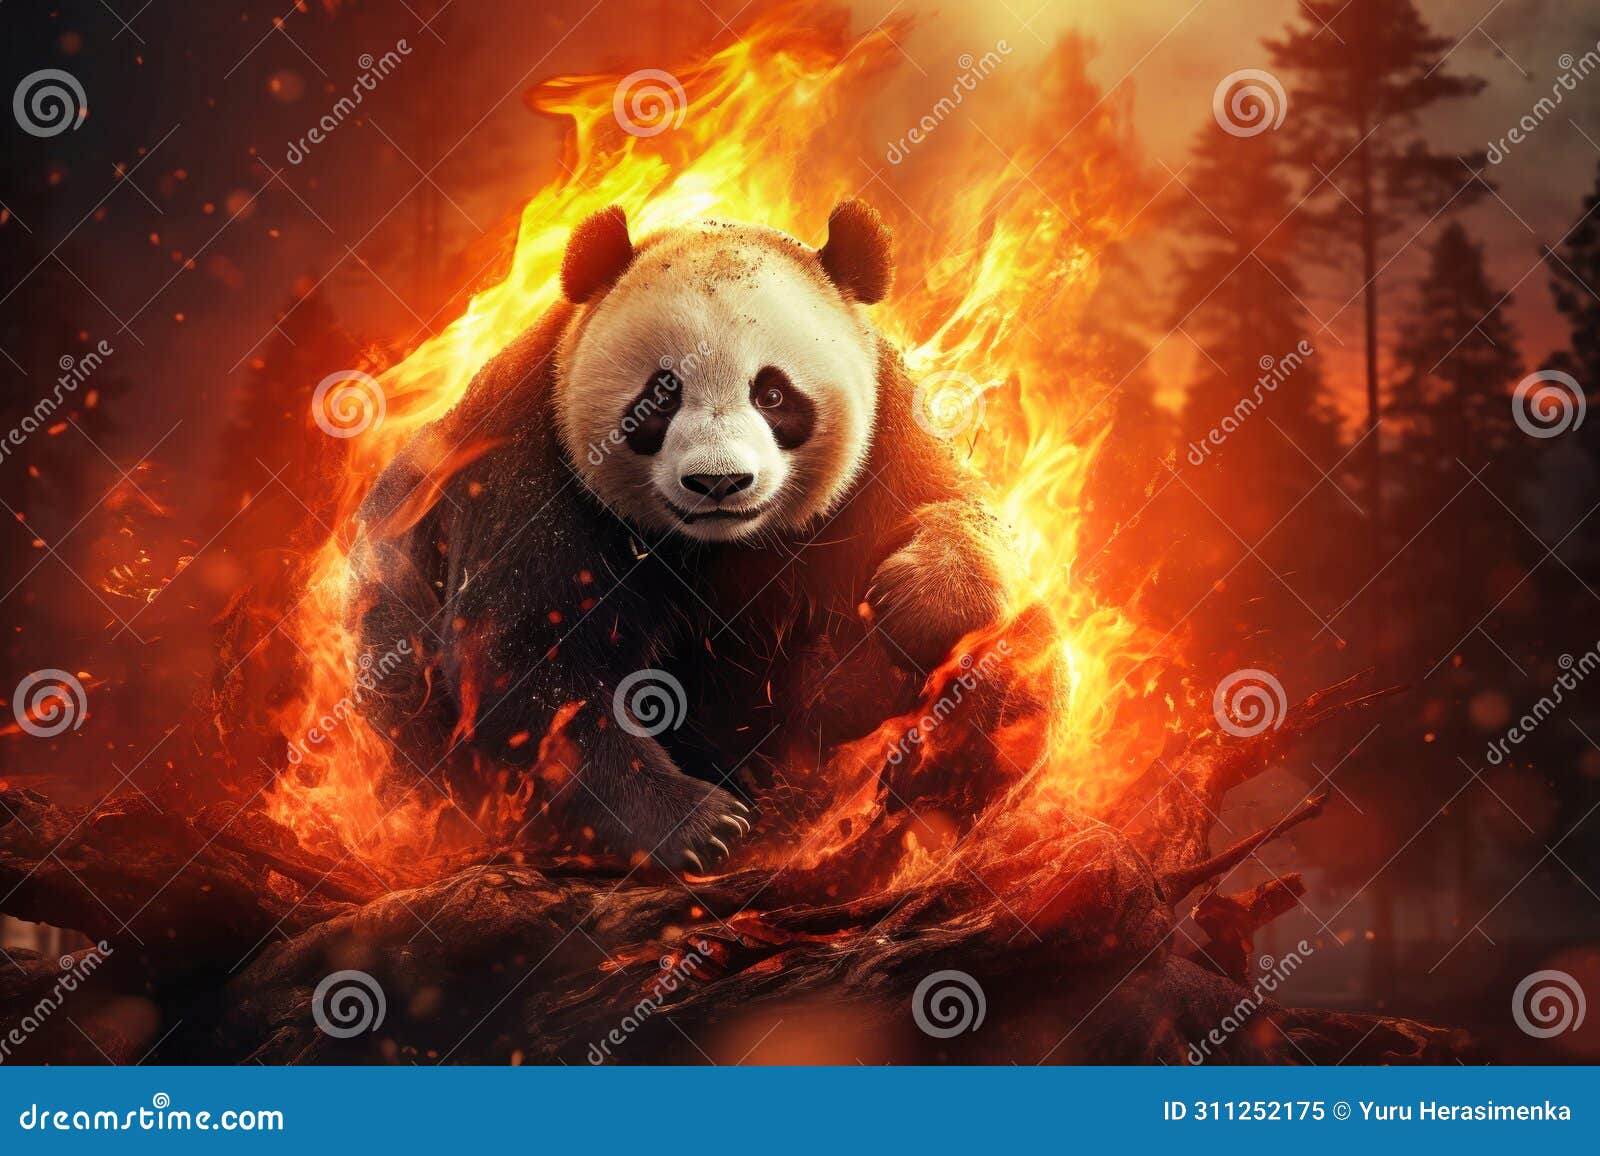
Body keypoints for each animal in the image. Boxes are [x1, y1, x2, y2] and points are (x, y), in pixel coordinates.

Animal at [347, 199, 1013, 872]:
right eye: (662, 395)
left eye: (773, 394)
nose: (719, 482)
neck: (720, 546)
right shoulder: (529, 462)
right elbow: (521, 661)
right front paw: (700, 825)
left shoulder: (885, 426)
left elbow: (954, 507)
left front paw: (911, 614)